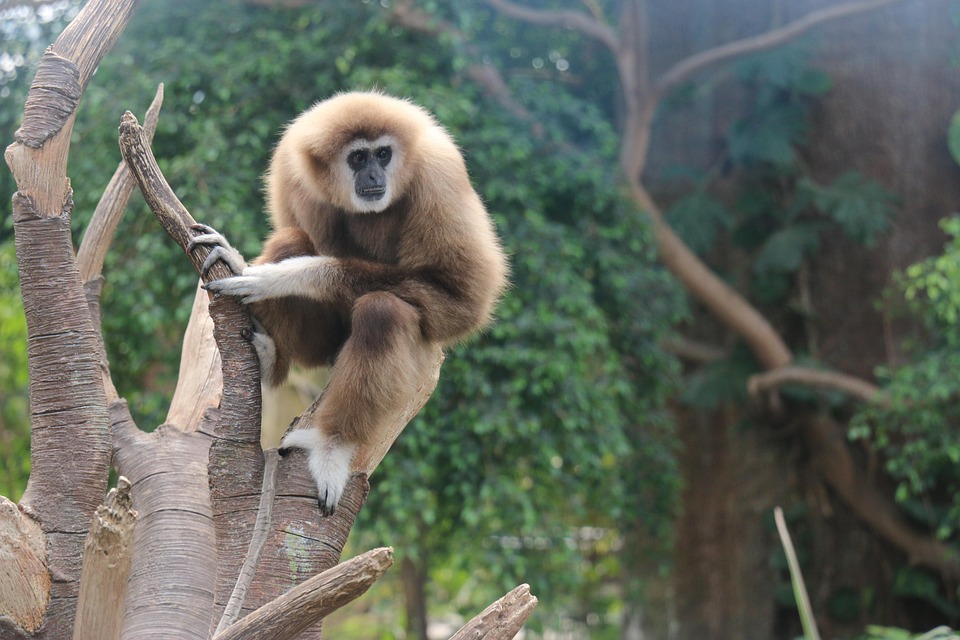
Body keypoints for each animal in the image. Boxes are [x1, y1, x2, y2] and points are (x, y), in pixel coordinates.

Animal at [189, 91, 509, 516]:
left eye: (384, 154)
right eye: (358, 158)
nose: (373, 176)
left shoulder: (439, 178)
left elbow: (462, 300)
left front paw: (287, 276)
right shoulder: (291, 168)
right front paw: (241, 262)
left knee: (382, 313)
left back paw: (331, 447)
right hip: (322, 344)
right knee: (291, 238)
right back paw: (271, 361)